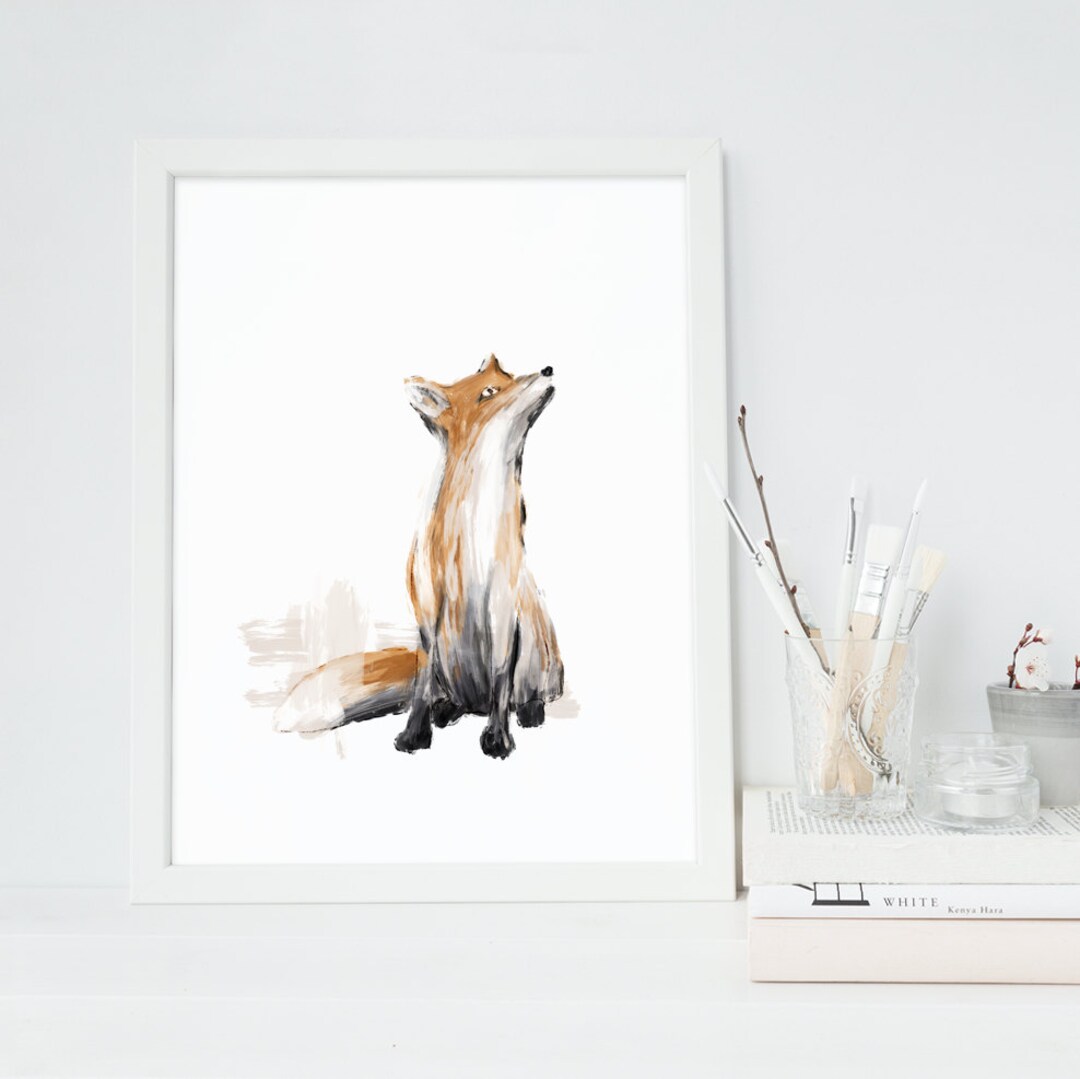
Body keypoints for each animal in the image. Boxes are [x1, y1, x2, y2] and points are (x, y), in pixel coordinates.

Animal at [274, 354, 563, 759]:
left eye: (510, 375)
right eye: (490, 391)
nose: (548, 370)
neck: (469, 534)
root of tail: (472, 701)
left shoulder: (503, 608)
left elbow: (501, 679)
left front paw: (497, 739)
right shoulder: (428, 606)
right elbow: (422, 685)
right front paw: (414, 736)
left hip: (538, 645)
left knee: (524, 693)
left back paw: (527, 712)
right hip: (453, 665)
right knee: (449, 695)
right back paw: (447, 712)